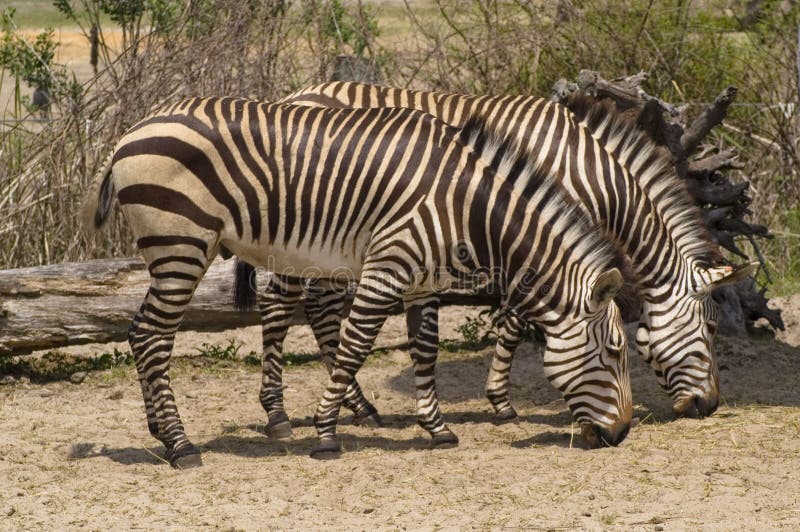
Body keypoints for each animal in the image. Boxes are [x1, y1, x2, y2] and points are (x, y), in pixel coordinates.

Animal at [82, 97, 632, 468]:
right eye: (616, 351)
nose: (624, 434)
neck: (465, 203)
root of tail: (130, 132)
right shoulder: (388, 267)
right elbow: (355, 347)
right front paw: (325, 433)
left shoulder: (422, 279)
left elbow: (426, 350)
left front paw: (436, 427)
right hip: (181, 245)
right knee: (151, 336)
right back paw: (180, 445)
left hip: (177, 251)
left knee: (141, 333)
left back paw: (160, 432)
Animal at [240, 81, 756, 427]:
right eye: (712, 328)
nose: (709, 407)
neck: (588, 174)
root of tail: (296, 94)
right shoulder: (537, 242)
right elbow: (513, 321)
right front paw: (501, 403)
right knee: (280, 305)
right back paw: (279, 413)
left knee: (319, 308)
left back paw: (358, 405)